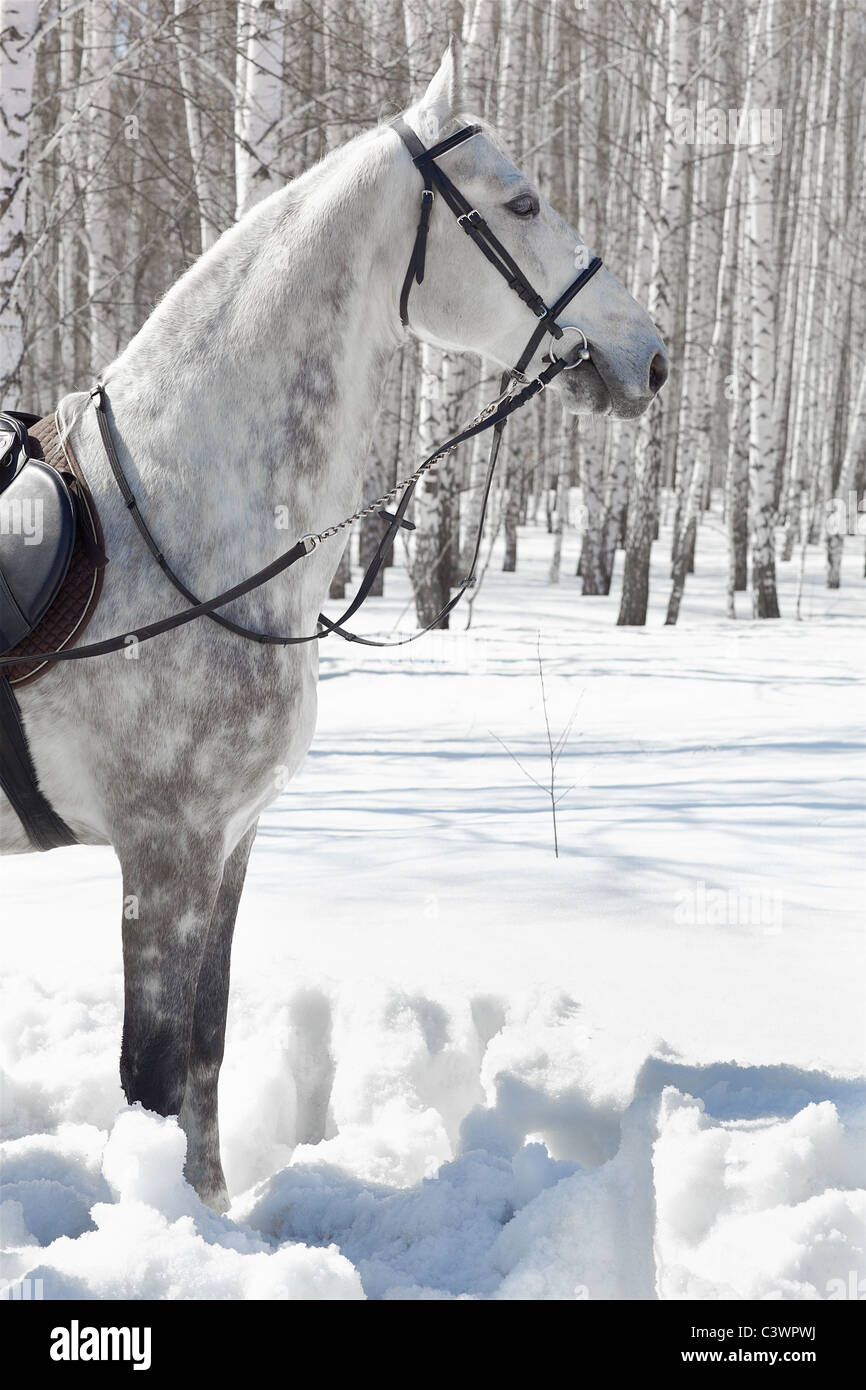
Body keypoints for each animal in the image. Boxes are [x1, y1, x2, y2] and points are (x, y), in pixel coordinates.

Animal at [0, 48, 666, 1211]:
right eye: (521, 201)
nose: (649, 356)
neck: (175, 521)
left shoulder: (229, 842)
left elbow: (204, 1054)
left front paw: (214, 1210)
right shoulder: (164, 853)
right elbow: (150, 1070)